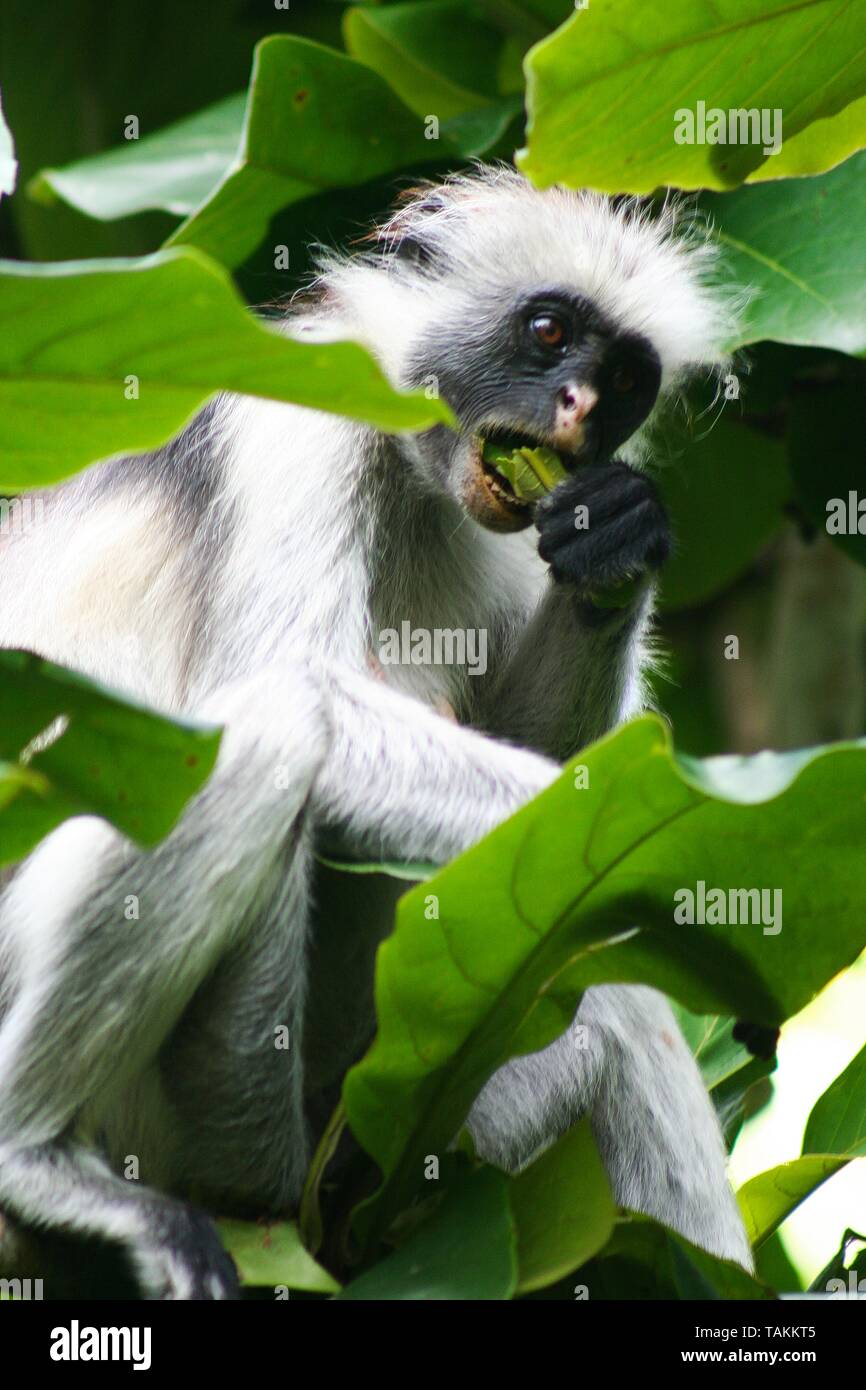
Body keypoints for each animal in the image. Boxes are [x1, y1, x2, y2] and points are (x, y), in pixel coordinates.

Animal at [0, 165, 752, 1298]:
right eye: (546, 332)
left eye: (623, 381)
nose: (580, 410)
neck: (409, 469)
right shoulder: (297, 423)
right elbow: (281, 674)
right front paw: (712, 840)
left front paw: (615, 542)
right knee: (263, 728)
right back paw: (35, 1163)